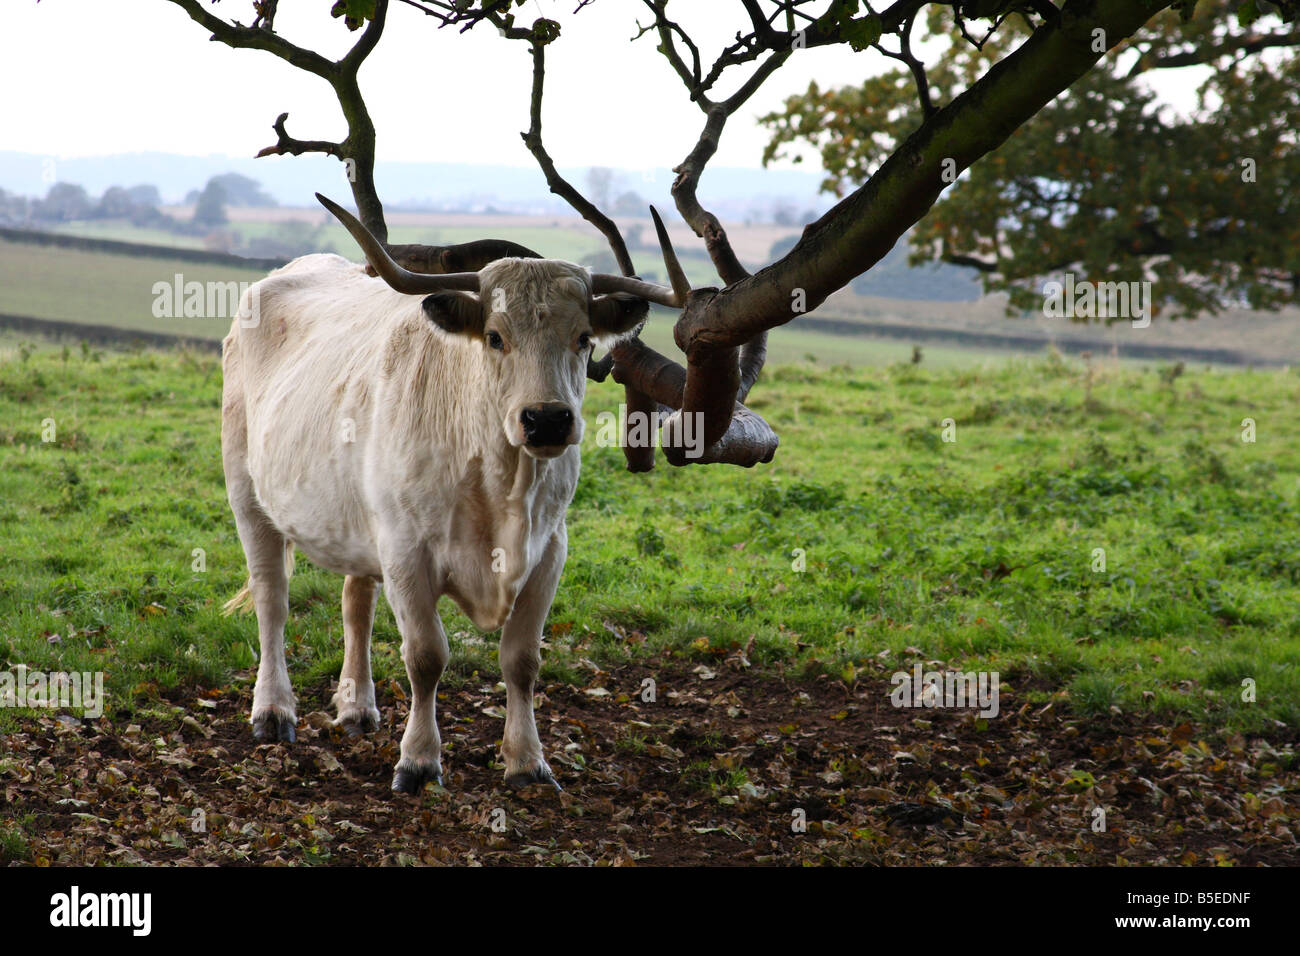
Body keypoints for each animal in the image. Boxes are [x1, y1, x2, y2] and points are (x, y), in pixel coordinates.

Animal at [221, 193, 686, 793]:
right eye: (495, 336)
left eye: (583, 338)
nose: (547, 419)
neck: (501, 484)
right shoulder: (406, 552)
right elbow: (425, 657)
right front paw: (418, 761)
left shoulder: (549, 552)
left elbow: (522, 660)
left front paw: (527, 761)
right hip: (247, 494)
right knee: (272, 599)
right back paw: (274, 709)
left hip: (358, 520)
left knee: (355, 603)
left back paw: (356, 705)